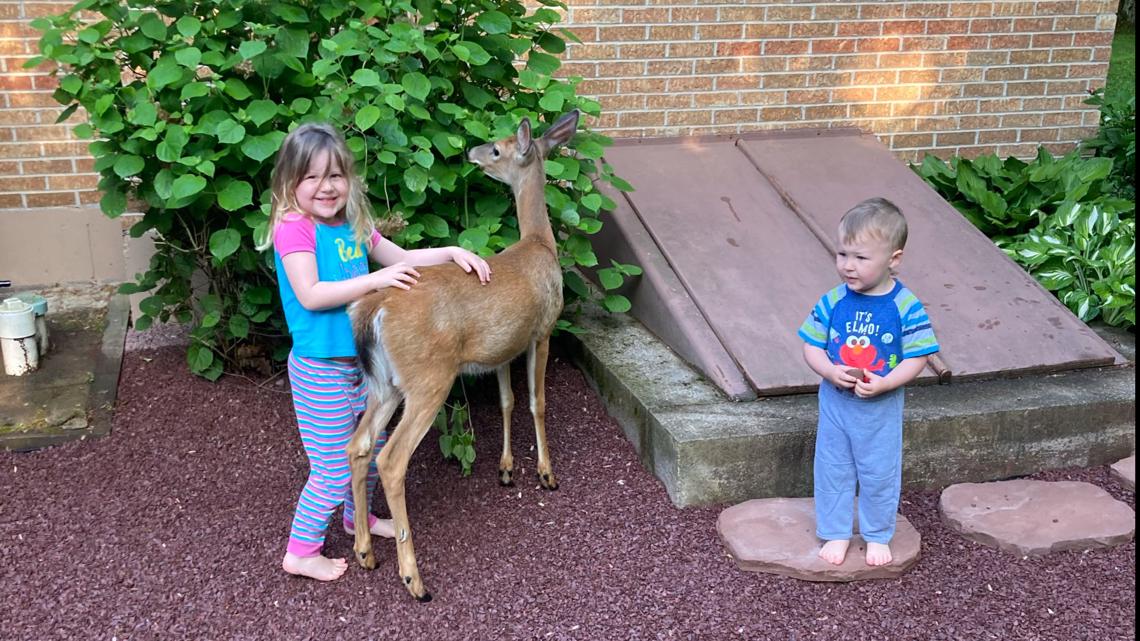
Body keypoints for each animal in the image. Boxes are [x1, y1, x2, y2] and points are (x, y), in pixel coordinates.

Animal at [345, 110, 580, 601]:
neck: (540, 244)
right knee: (390, 460)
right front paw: (546, 474)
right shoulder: (543, 329)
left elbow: (509, 400)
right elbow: (538, 402)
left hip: (385, 383)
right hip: (429, 377)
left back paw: (365, 553)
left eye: (496, 148)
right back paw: (414, 579)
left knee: (359, 445)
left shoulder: (503, 349)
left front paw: (507, 470)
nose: (470, 151)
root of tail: (375, 309)